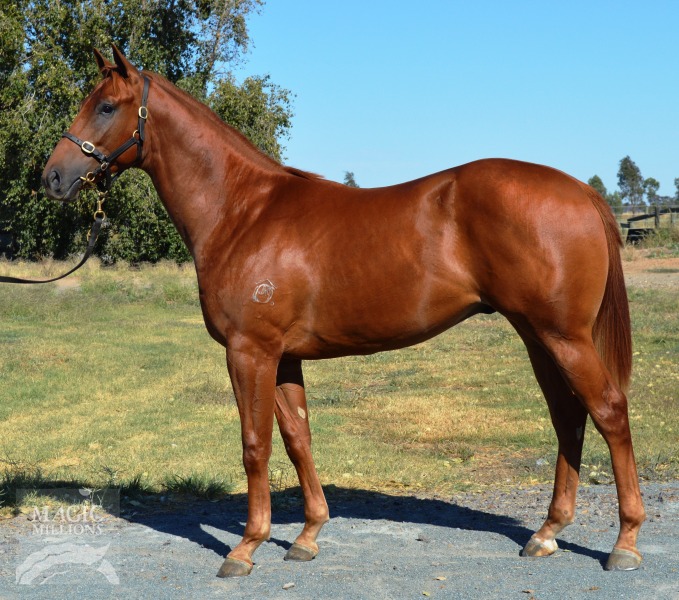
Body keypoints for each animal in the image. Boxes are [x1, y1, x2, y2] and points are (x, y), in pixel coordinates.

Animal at [42, 46, 645, 576]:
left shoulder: (249, 352)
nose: (52, 176)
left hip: (562, 336)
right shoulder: (283, 358)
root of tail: (582, 193)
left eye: (106, 106)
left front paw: (245, 548)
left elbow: (255, 445)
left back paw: (625, 543)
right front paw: (307, 536)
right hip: (538, 336)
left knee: (609, 411)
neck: (242, 211)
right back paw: (547, 534)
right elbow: (297, 439)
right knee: (568, 418)